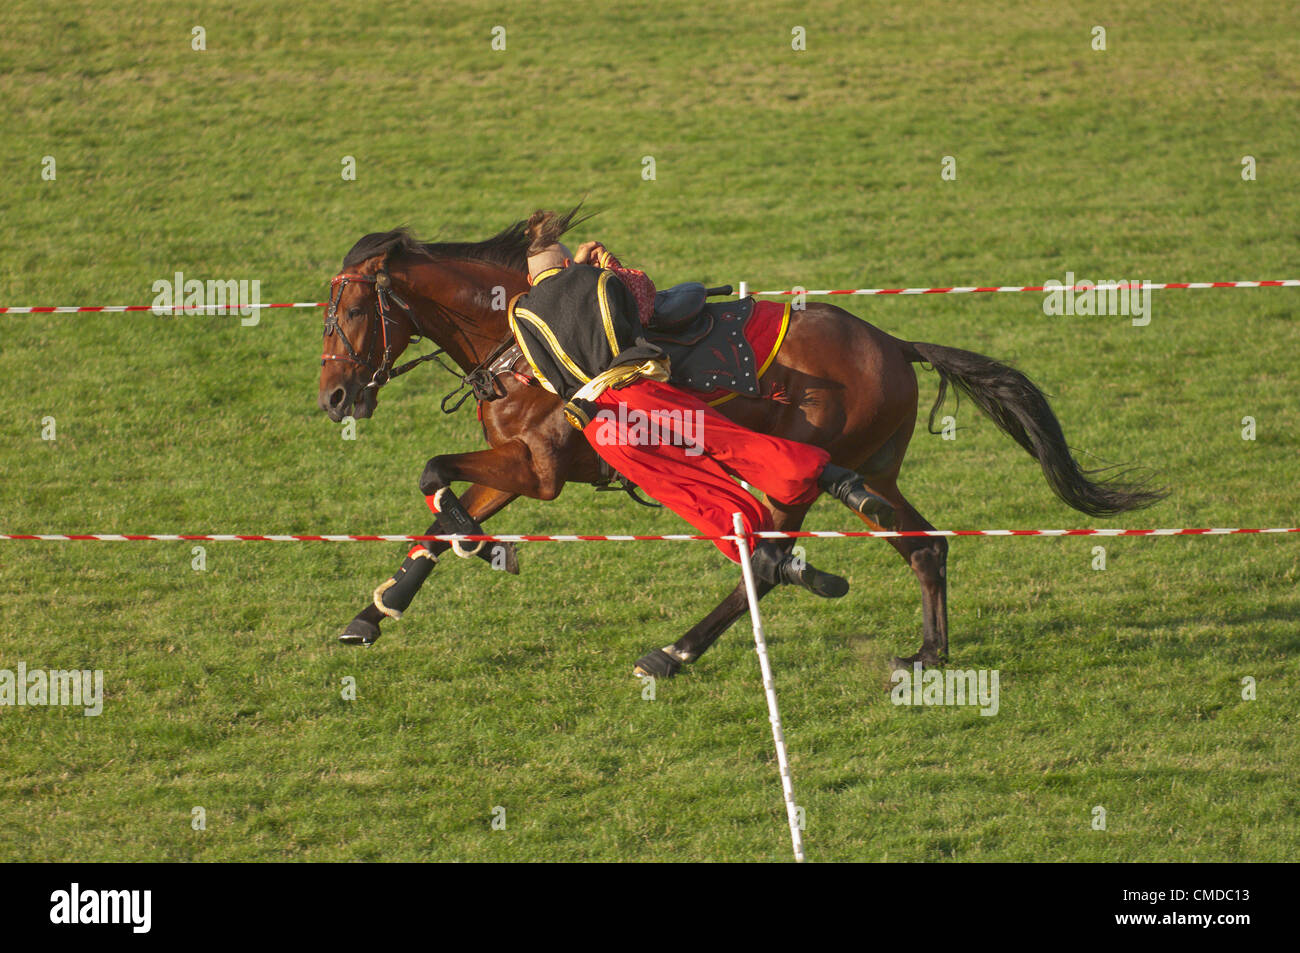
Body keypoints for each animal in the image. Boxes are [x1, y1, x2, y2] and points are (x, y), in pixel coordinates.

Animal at [316, 208, 1163, 677]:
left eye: (349, 313)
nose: (333, 397)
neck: (512, 339)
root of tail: (893, 342)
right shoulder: (517, 466)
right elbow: (441, 507)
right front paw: (377, 609)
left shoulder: (541, 468)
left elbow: (436, 479)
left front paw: (472, 552)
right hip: (879, 470)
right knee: (921, 544)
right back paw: (927, 652)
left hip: (800, 477)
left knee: (764, 556)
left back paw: (677, 651)